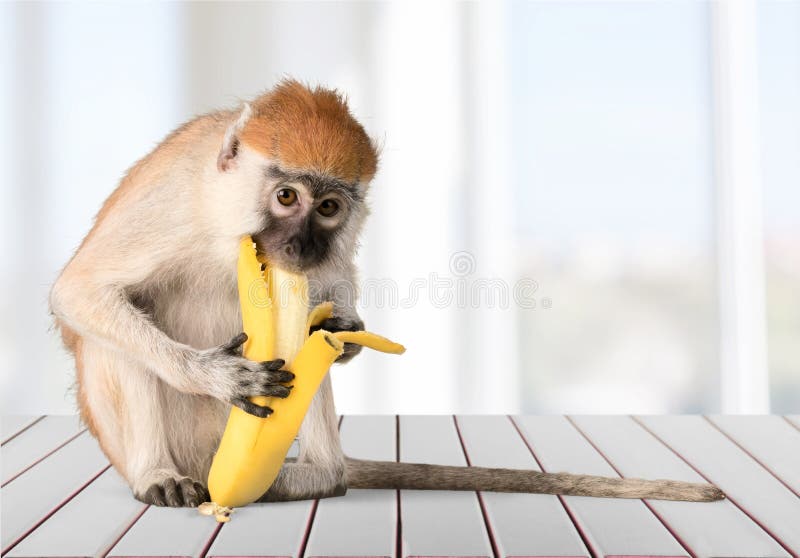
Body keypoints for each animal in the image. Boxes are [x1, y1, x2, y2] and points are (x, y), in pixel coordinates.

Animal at [49, 80, 724, 508]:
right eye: (286, 197)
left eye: (328, 208)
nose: (300, 244)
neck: (225, 218)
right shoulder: (174, 201)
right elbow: (81, 293)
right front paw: (218, 375)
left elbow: (331, 294)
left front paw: (346, 331)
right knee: (116, 332)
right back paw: (158, 475)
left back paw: (320, 477)